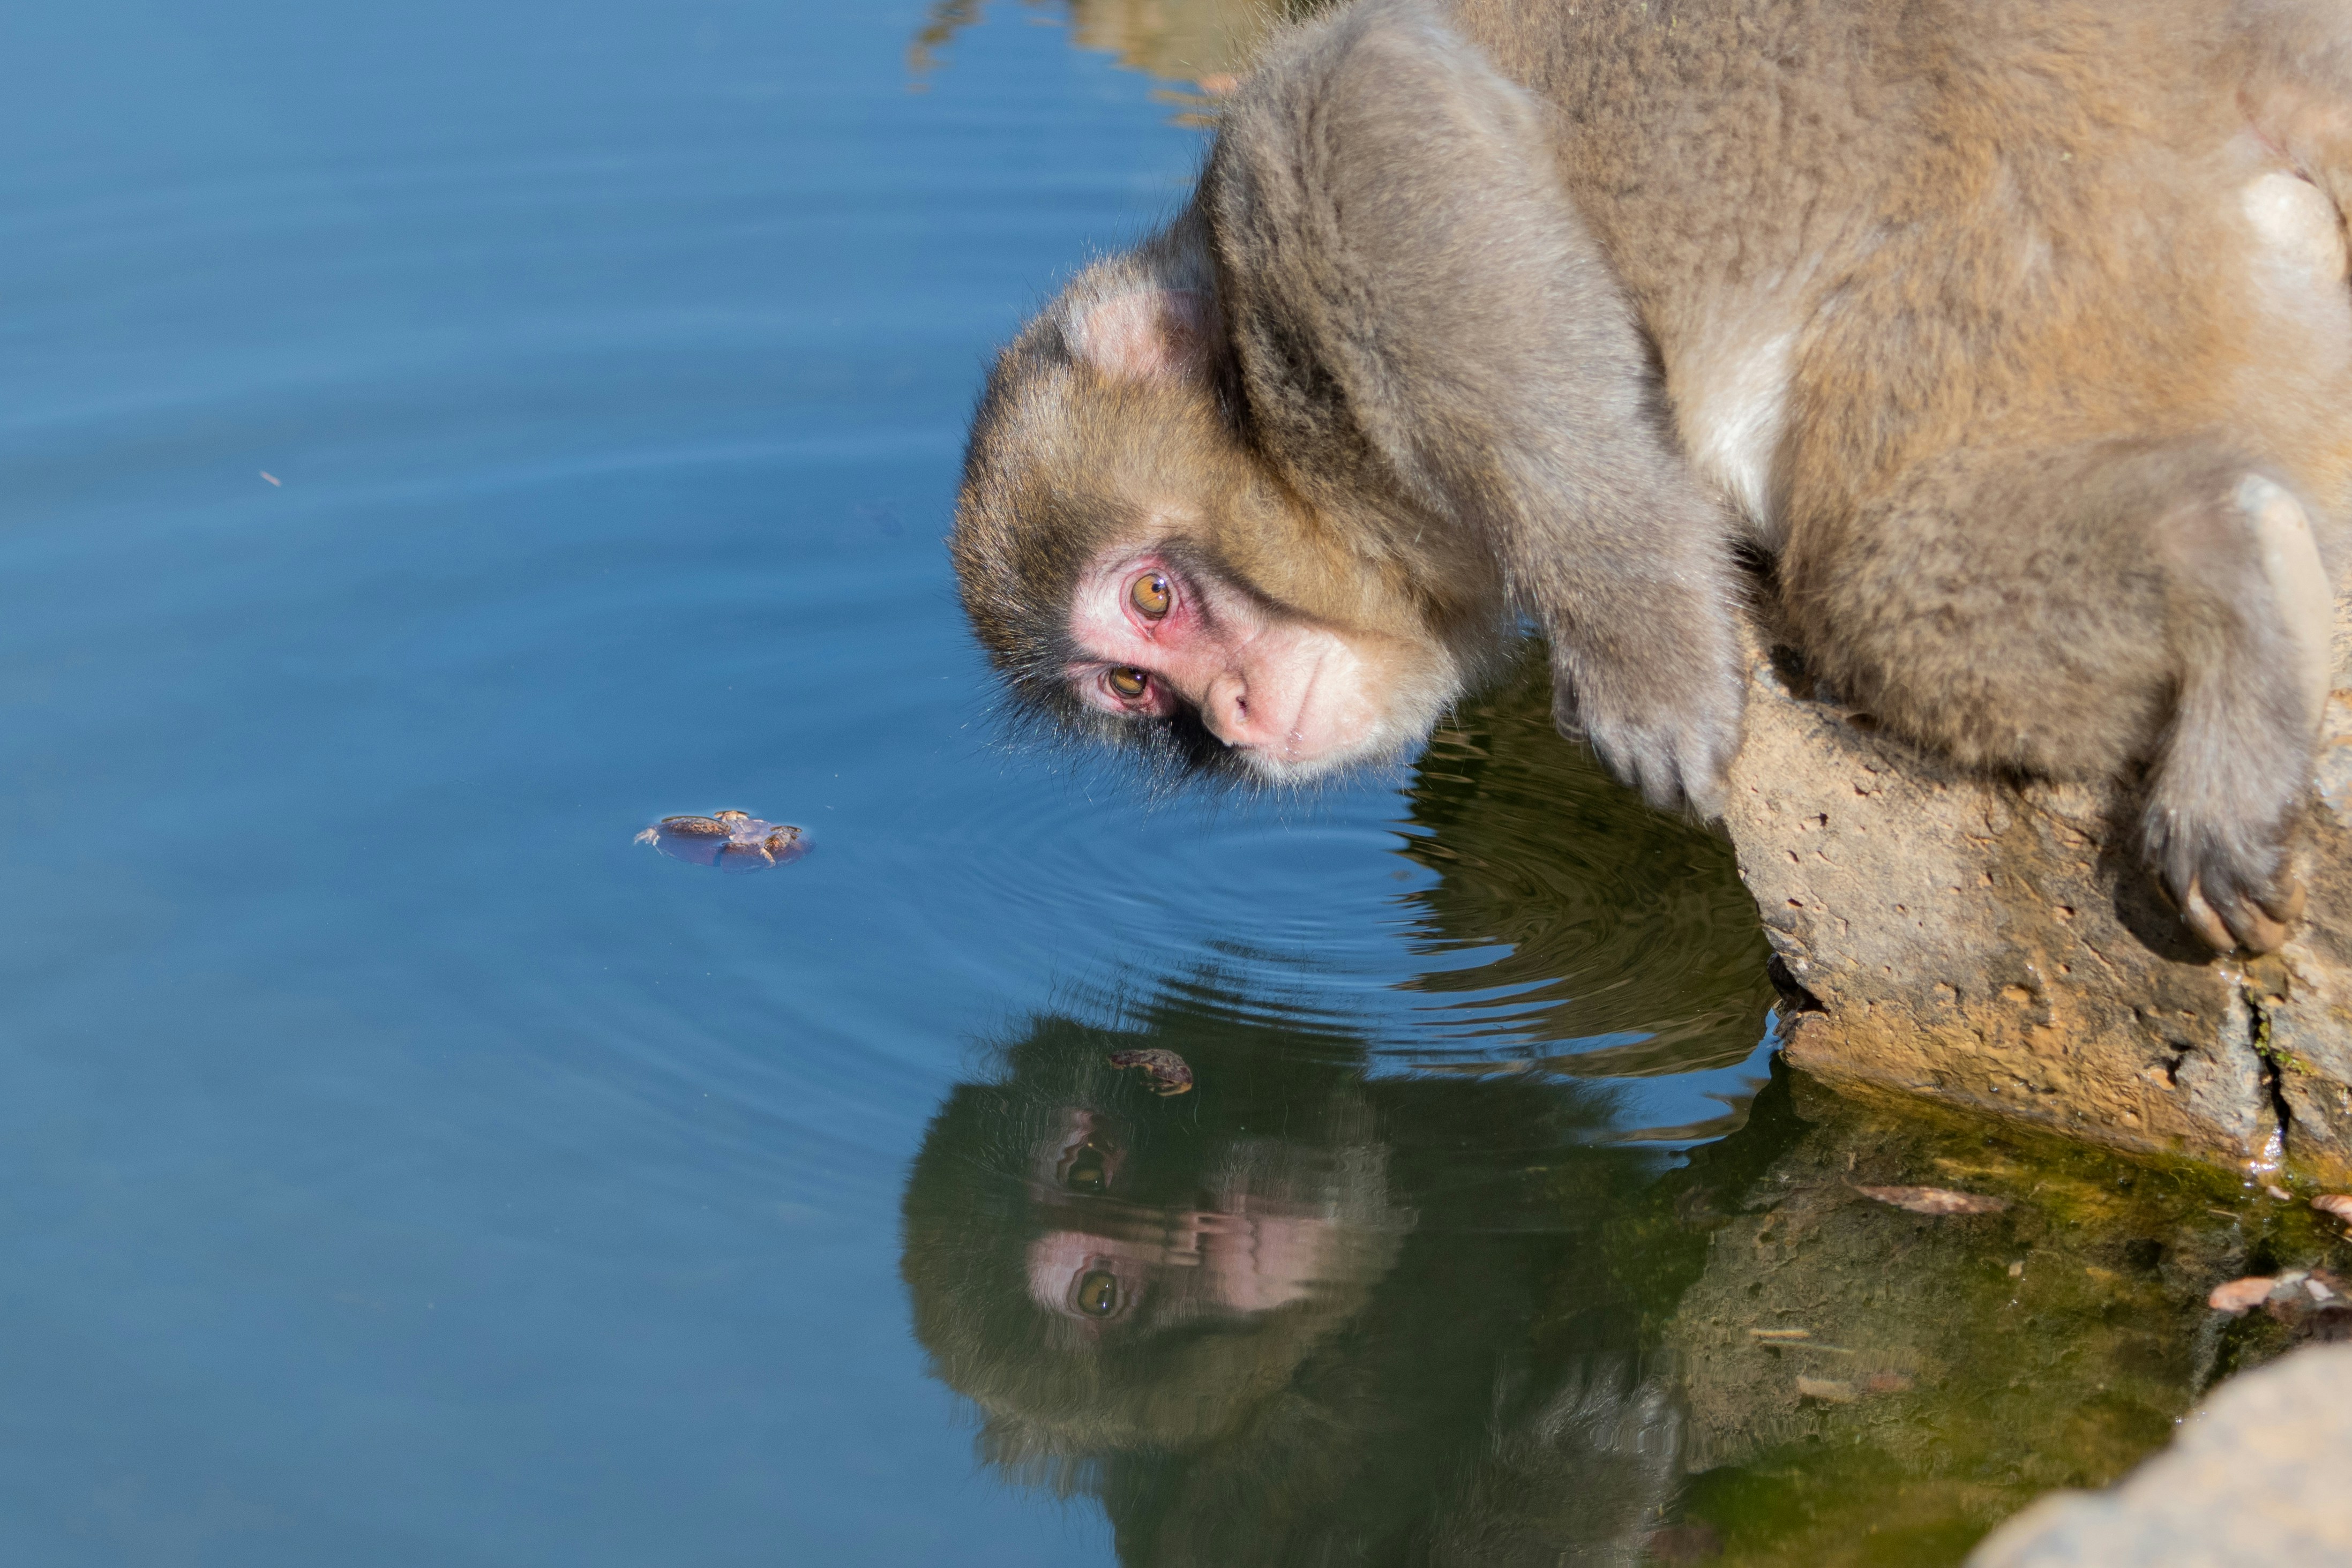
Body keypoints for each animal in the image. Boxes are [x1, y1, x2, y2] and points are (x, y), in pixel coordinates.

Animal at [949, 0, 2352, 957]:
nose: (1231, 713)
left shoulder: (1297, 215)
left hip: (2056, 243)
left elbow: (1382, 113)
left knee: (1881, 583)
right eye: (1137, 689)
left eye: (1151, 597)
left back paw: (2232, 562)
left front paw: (1645, 661)